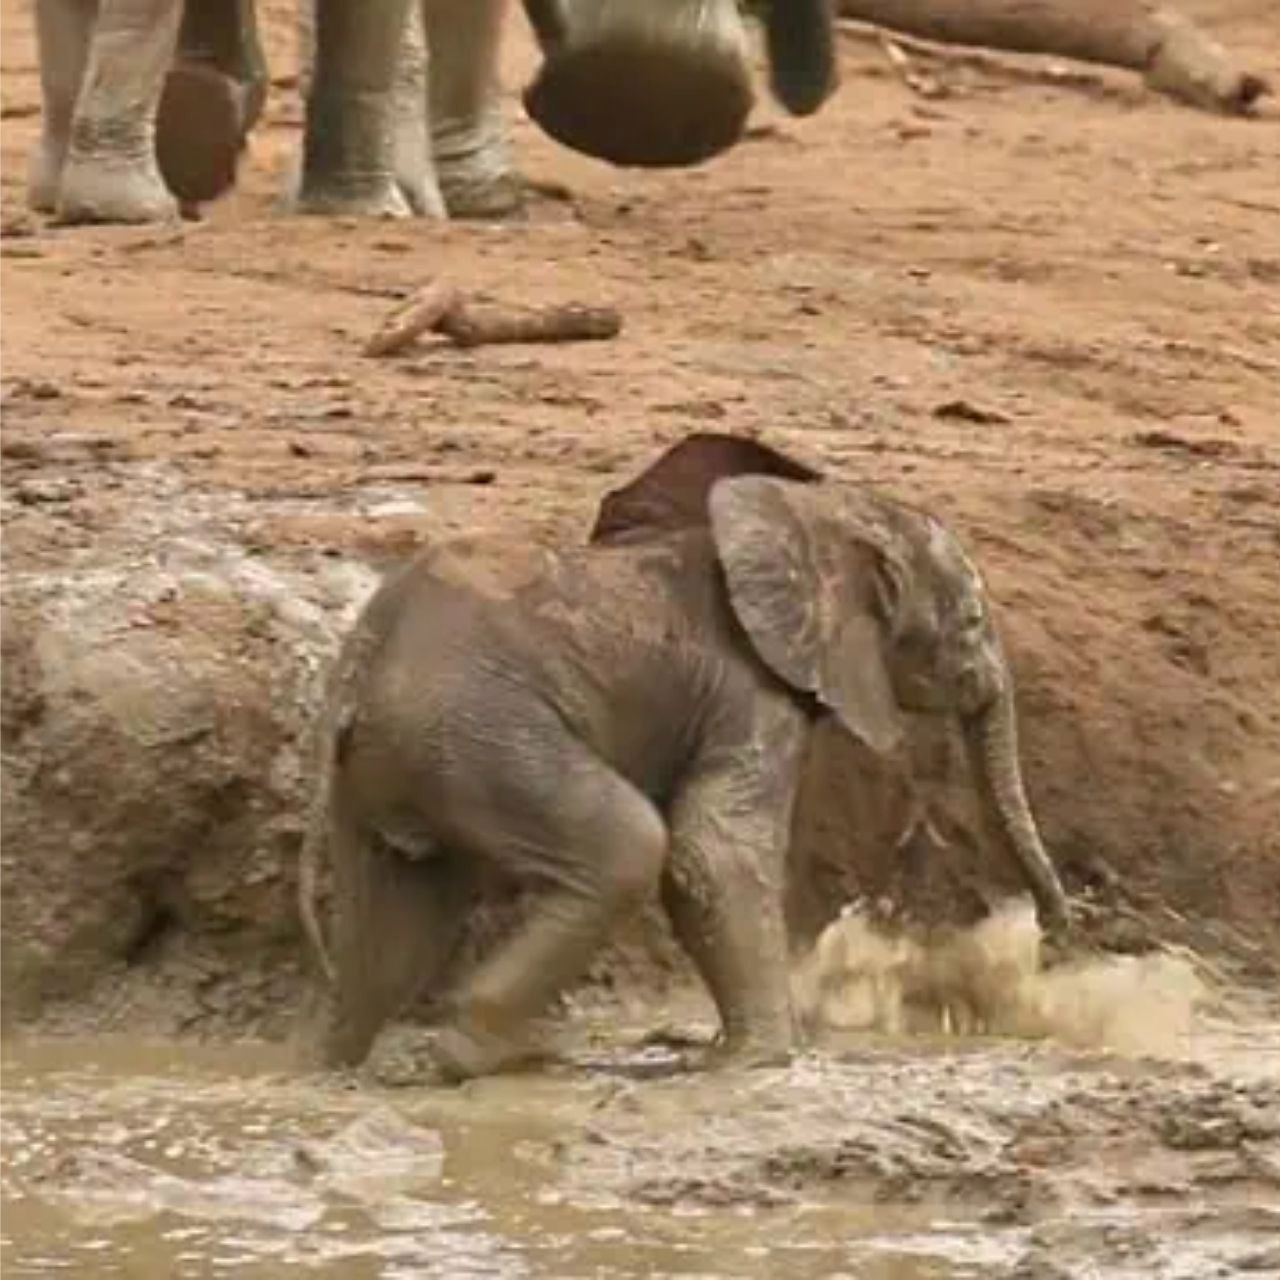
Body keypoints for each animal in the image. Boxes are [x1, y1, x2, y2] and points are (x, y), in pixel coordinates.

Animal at [298, 432, 1071, 1081]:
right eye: (972, 623)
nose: (1053, 935)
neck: (811, 516)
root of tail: (357, 668)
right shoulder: (748, 690)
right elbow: (714, 851)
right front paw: (768, 1060)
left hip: (400, 760)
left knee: (395, 911)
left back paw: (355, 1065)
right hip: (478, 731)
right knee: (626, 846)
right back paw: (490, 1055)